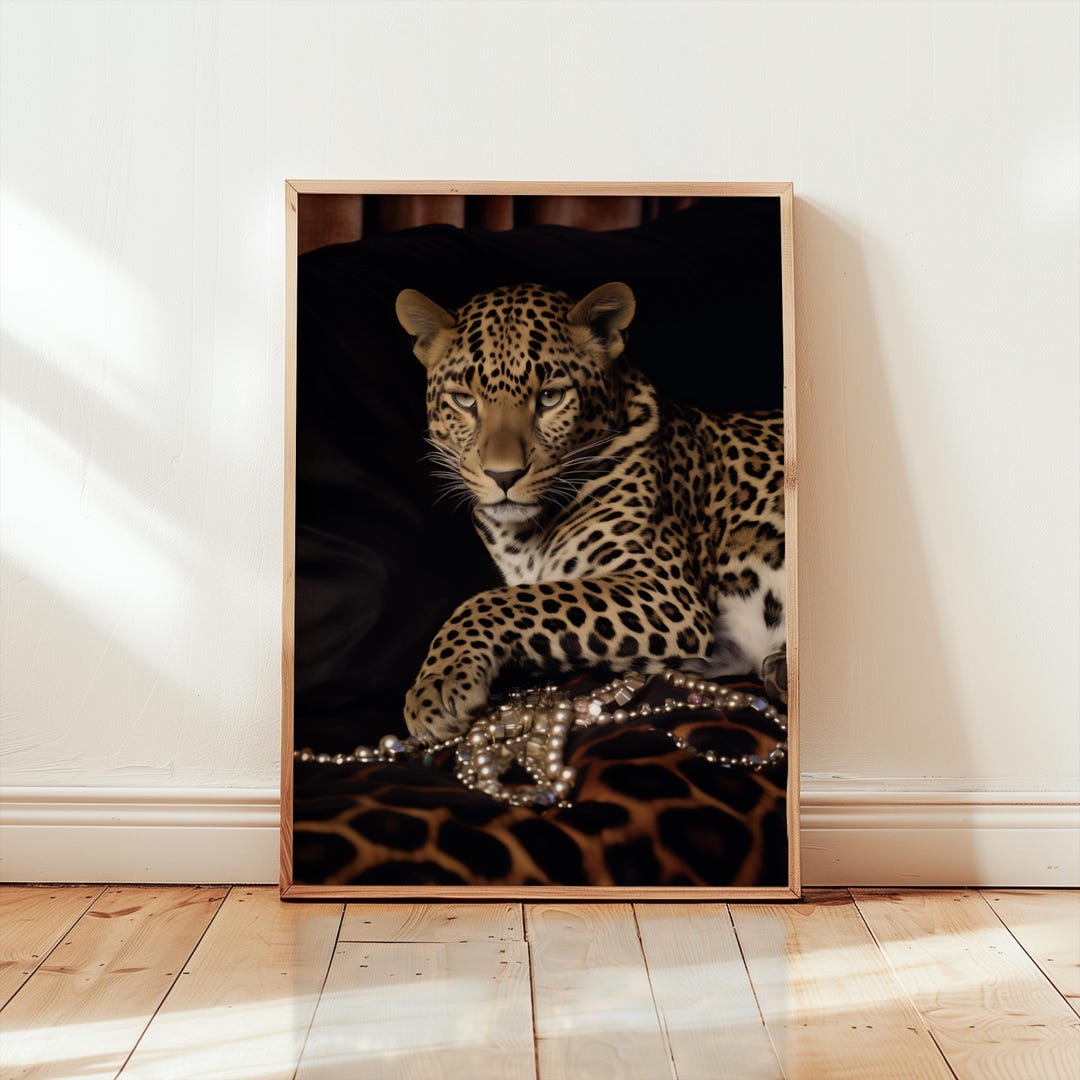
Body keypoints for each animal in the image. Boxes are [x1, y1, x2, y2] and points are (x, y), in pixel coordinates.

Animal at [395, 281, 787, 745]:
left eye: (550, 397)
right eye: (463, 400)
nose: (503, 475)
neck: (526, 534)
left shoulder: (664, 591)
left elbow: (501, 600)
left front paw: (437, 685)